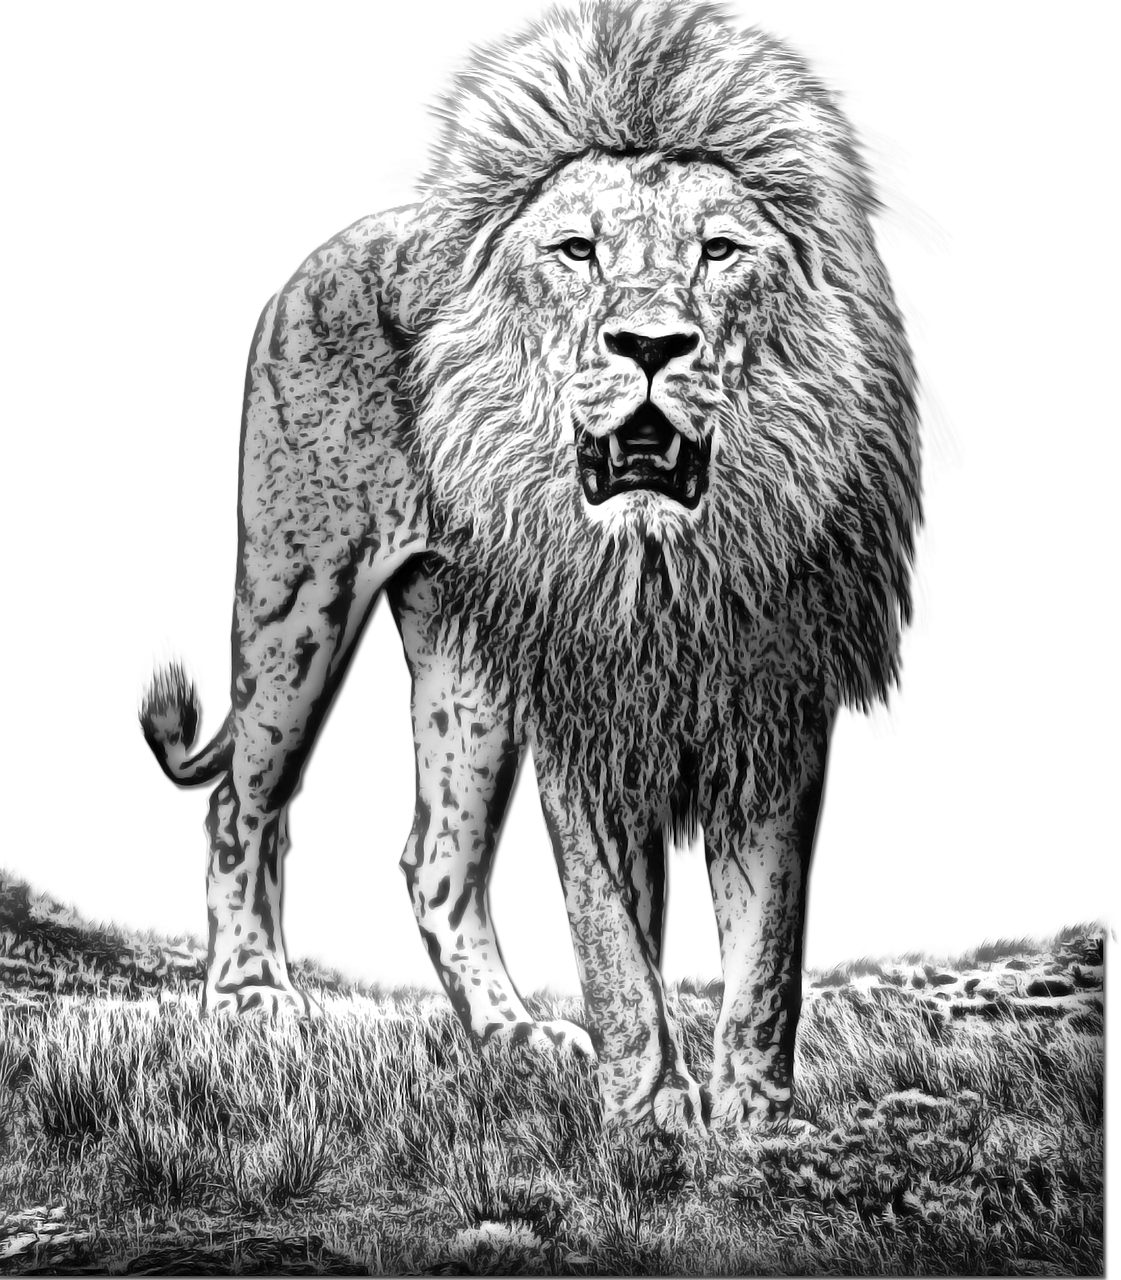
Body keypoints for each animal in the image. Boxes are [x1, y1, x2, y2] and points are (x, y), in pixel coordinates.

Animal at [133, 0, 962, 1138]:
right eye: (577, 251)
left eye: (720, 251)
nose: (650, 344)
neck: (661, 569)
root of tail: (338, 244)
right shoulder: (582, 719)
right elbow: (613, 942)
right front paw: (649, 1107)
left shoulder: (772, 709)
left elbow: (764, 956)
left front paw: (755, 1119)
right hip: (299, 595)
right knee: (242, 803)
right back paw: (251, 997)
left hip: (466, 674)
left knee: (434, 860)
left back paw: (509, 1035)